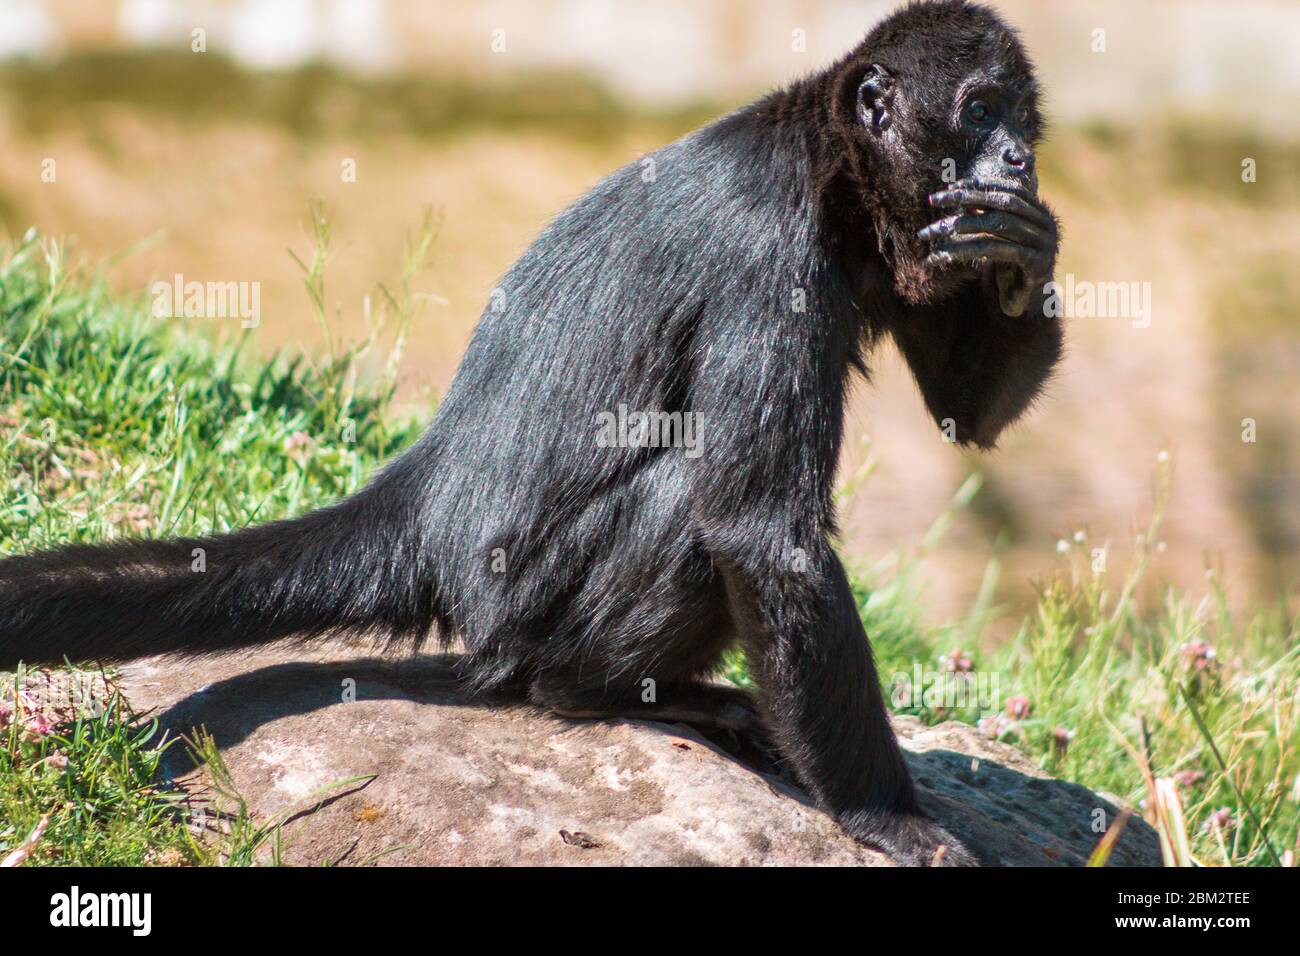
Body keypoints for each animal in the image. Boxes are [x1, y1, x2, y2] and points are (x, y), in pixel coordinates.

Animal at [0, 1, 1060, 866]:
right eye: (979, 111)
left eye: (1022, 120)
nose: (1017, 160)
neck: (826, 161)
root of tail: (432, 500)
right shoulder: (774, 256)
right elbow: (764, 535)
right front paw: (887, 818)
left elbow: (964, 411)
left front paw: (1031, 244)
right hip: (525, 602)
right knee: (689, 494)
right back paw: (589, 690)